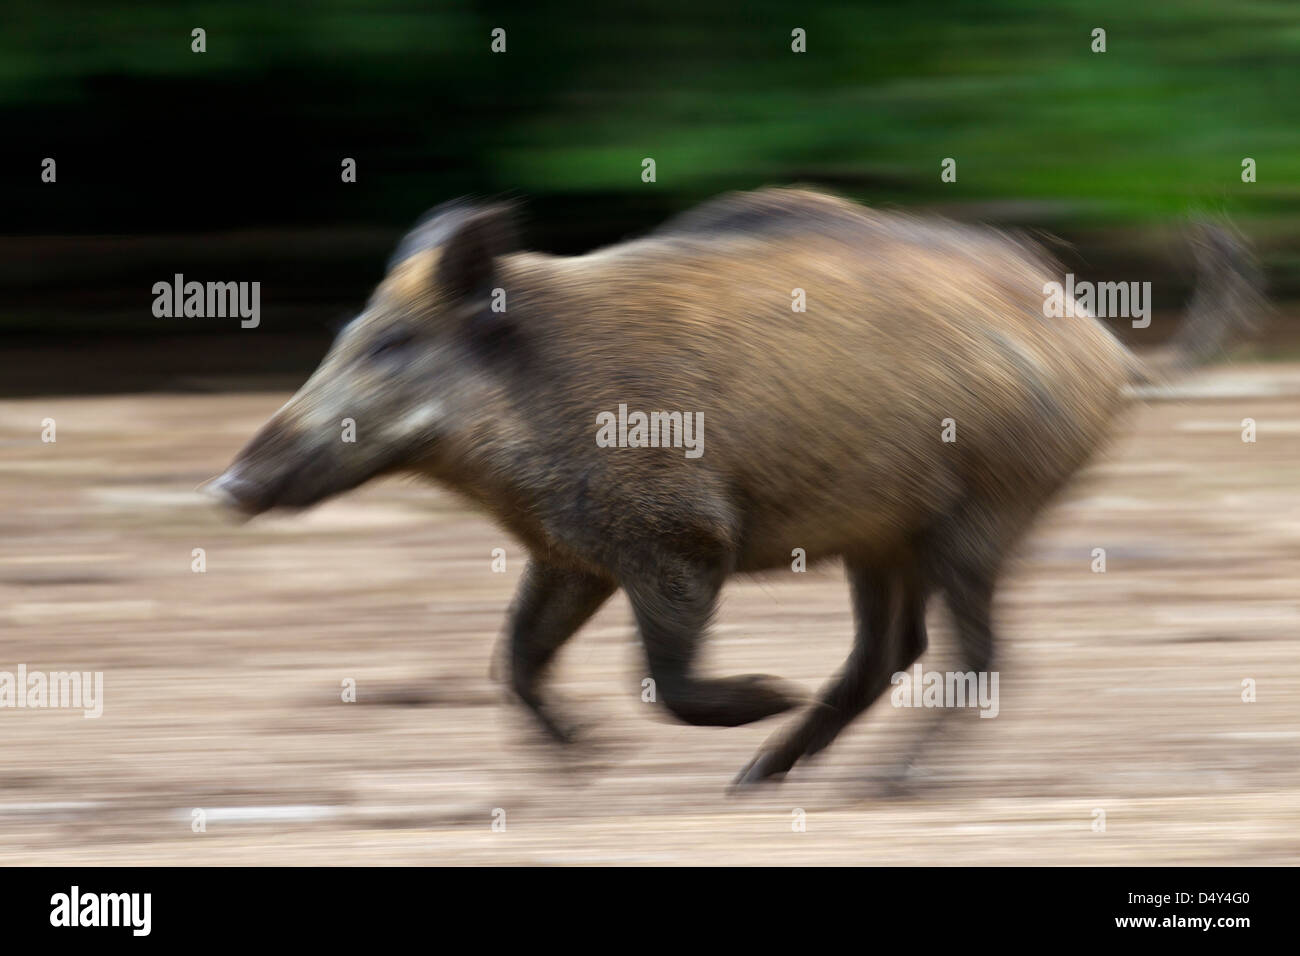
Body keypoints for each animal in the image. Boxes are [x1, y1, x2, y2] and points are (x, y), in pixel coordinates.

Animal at [208, 188, 1262, 787]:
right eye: (349, 332)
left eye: (391, 343)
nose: (227, 485)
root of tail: (1106, 348)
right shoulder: (573, 552)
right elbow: (514, 657)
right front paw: (586, 769)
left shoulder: (681, 534)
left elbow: (662, 679)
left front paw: (749, 695)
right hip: (884, 537)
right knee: (892, 651)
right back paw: (762, 777)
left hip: (982, 515)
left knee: (979, 657)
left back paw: (881, 786)